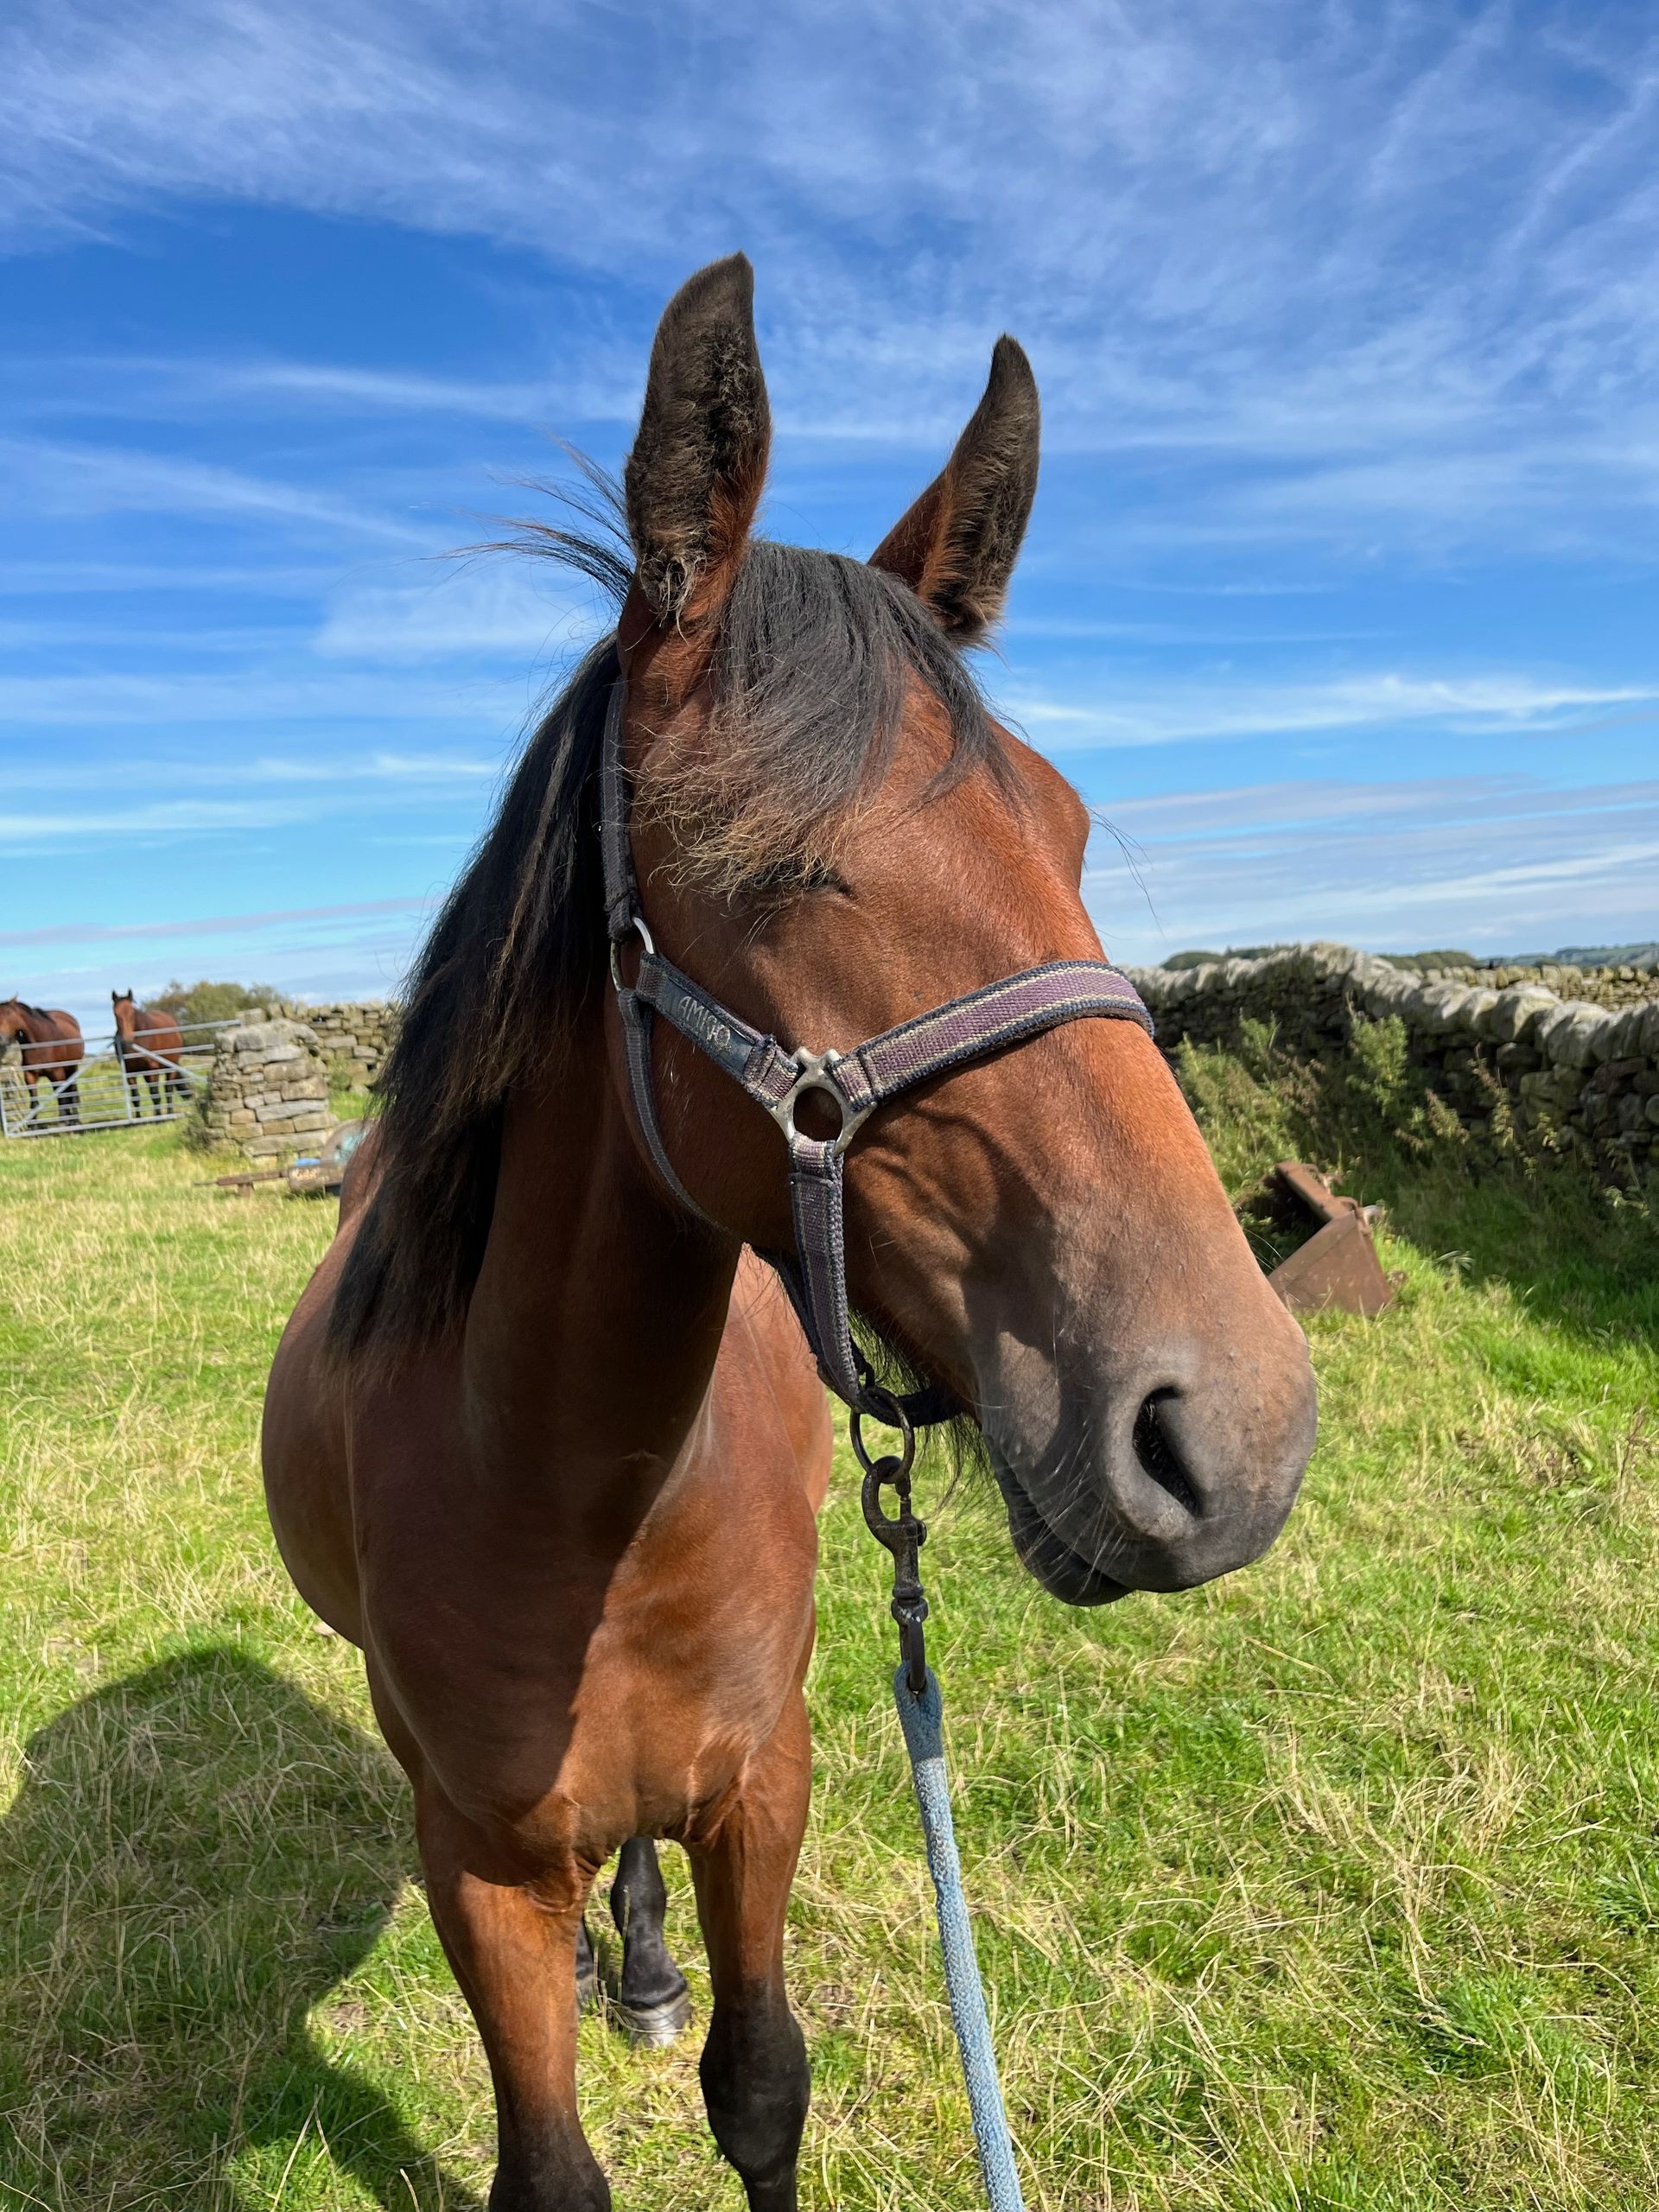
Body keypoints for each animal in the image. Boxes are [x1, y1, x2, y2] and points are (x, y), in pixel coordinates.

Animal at [0, 998, 83, 1126]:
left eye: (8, 1014)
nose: (0, 1038)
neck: (40, 1043)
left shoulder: (57, 1073)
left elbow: (61, 1096)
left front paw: (64, 1120)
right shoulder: (30, 1076)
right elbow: (34, 1099)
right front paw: (34, 1125)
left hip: (72, 1067)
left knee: (71, 1090)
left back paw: (75, 1119)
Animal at [111, 990, 188, 1117]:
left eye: (132, 1013)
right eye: (115, 1014)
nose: (127, 1041)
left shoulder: (152, 1069)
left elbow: (155, 1094)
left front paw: (158, 1117)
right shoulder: (129, 1072)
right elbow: (135, 1097)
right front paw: (138, 1118)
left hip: (169, 1067)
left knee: (168, 1089)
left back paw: (170, 1113)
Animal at [262, 255, 1317, 2212]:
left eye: (1067, 828)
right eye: (756, 860)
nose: (1236, 1429)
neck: (574, 1488)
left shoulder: (768, 1787)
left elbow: (760, 2090)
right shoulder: (478, 1863)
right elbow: (555, 2167)